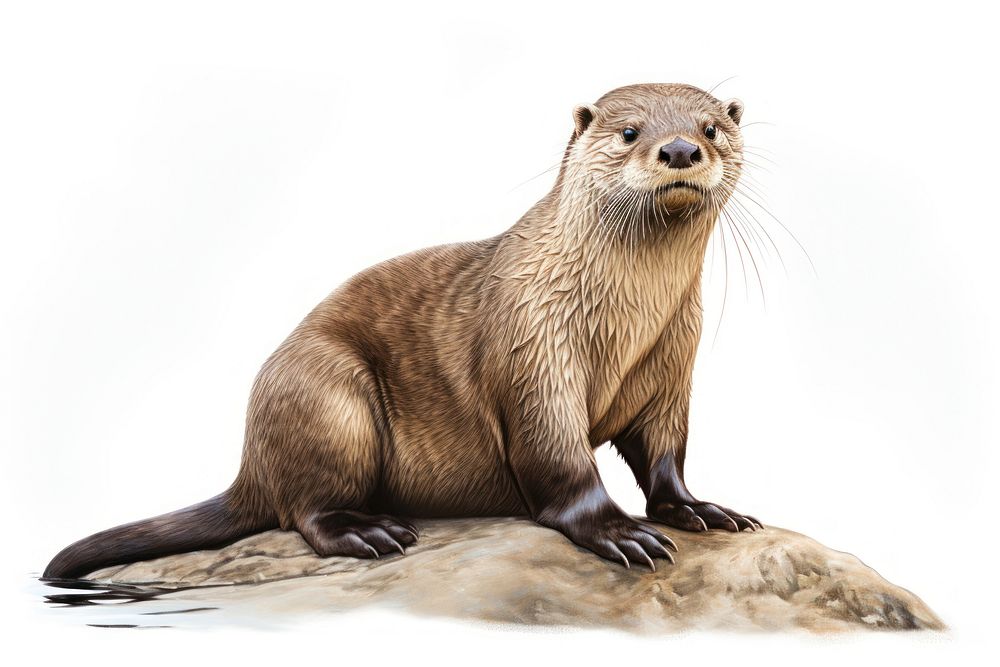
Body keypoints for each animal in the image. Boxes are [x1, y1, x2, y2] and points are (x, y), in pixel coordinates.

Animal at [44, 83, 761, 580]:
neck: (624, 319)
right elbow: (559, 461)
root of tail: (254, 462)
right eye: (629, 131)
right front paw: (619, 532)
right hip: (326, 398)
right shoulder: (535, 350)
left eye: (712, 128)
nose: (679, 149)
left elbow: (665, 453)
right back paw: (368, 533)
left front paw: (701, 510)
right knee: (304, 510)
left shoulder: (672, 365)